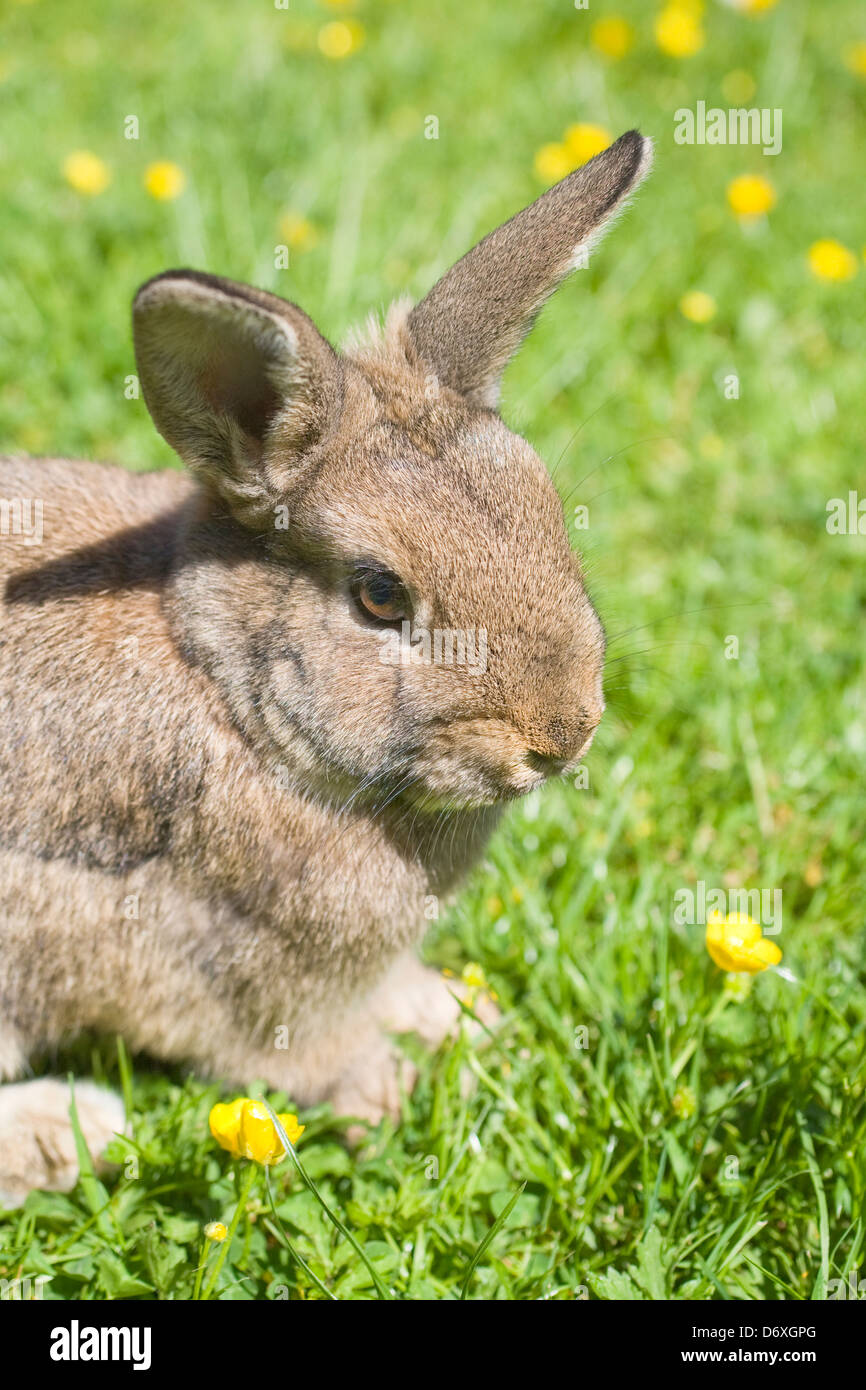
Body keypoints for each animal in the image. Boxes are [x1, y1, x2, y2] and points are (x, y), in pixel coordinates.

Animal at [0, 130, 651, 1204]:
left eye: (549, 513)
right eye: (379, 596)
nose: (560, 737)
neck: (227, 690)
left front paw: (454, 1016)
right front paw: (385, 1085)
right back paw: (68, 1130)